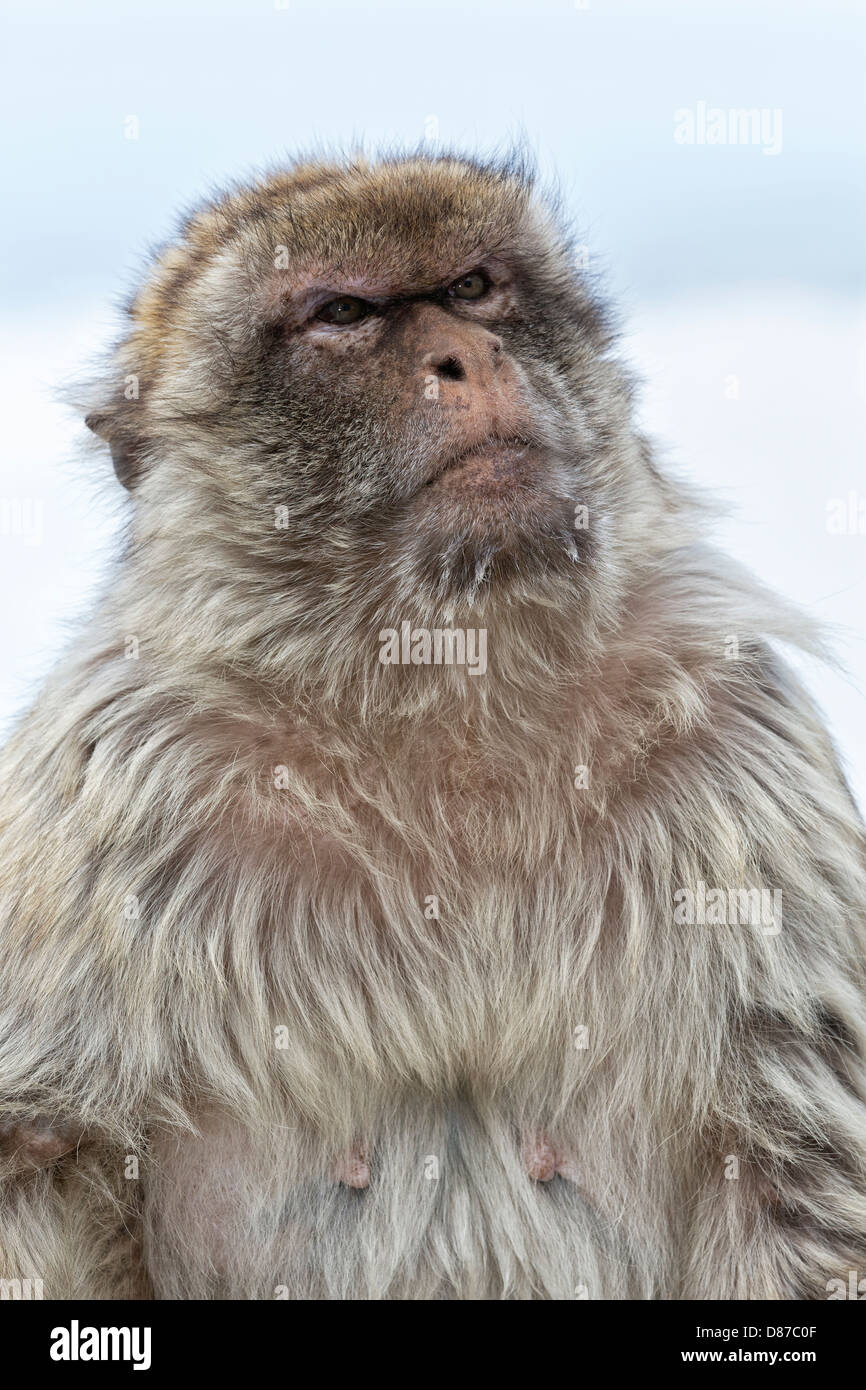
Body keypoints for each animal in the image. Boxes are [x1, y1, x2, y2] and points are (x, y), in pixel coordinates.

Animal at [0, 150, 865, 1301]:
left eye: (471, 287)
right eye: (342, 313)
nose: (466, 355)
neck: (441, 688)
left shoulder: (745, 749)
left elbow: (799, 1176)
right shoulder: (103, 794)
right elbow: (37, 1157)